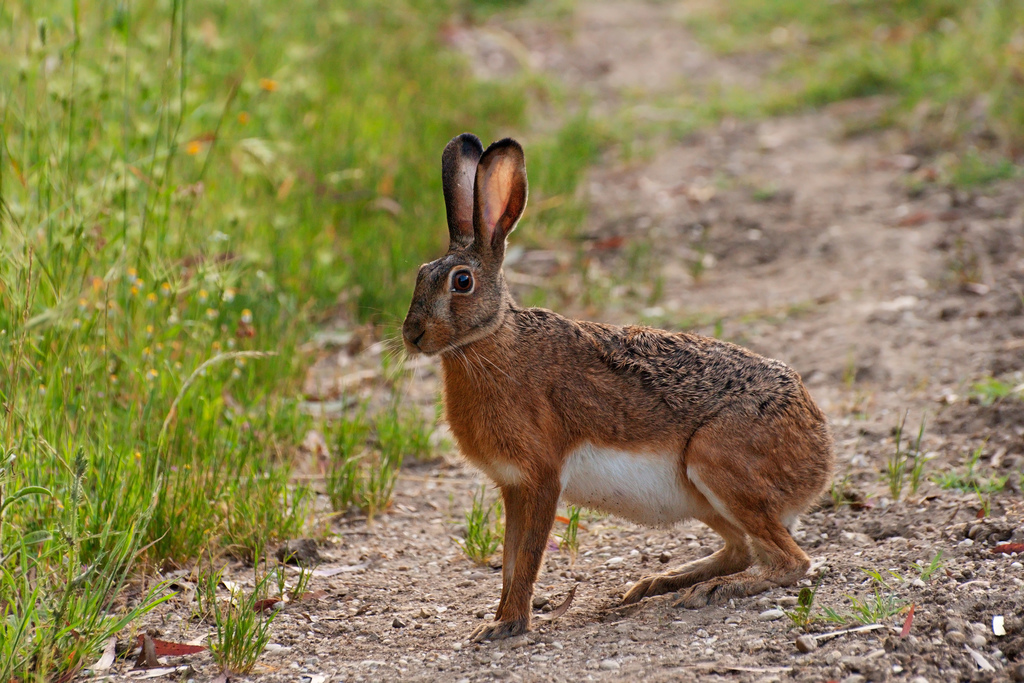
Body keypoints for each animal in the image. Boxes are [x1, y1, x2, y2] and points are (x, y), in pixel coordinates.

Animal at [402, 133, 835, 643]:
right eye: (421, 272)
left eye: (462, 282)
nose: (412, 335)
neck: (491, 341)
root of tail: (820, 453)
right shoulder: (513, 486)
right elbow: (509, 561)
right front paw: (497, 621)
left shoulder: (541, 478)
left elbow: (525, 560)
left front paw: (506, 625)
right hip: (703, 493)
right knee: (743, 549)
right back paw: (659, 582)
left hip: (717, 461)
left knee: (790, 560)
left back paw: (710, 590)